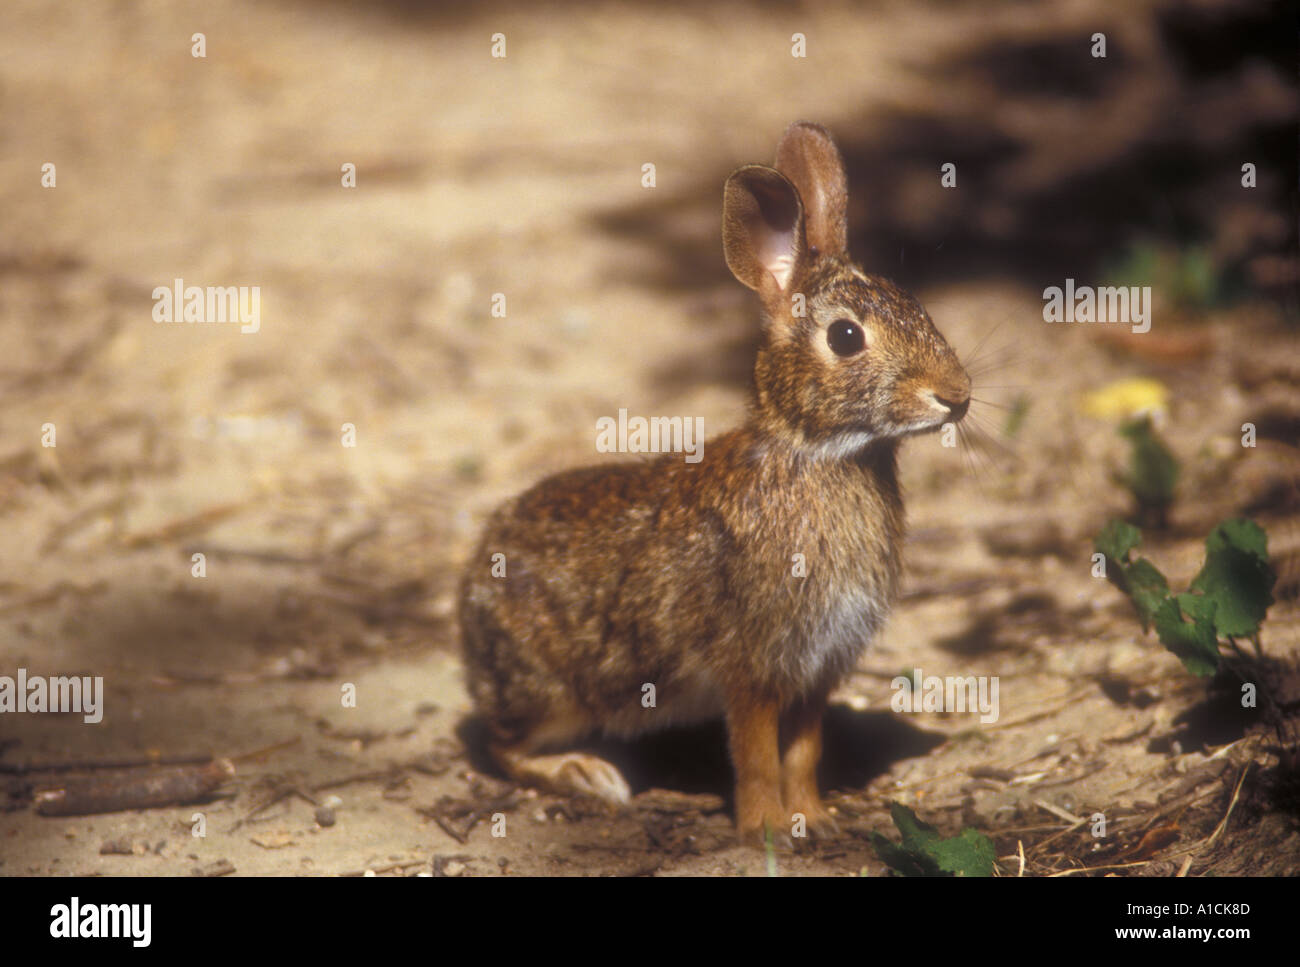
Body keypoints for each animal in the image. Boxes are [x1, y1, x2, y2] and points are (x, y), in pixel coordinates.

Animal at [459, 121, 970, 844]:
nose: (957, 396)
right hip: (552, 690)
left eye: (916, 305)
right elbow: (755, 753)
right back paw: (587, 774)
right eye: (846, 337)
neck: (815, 452)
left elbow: (803, 750)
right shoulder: (751, 663)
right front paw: (765, 830)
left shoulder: (817, 670)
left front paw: (814, 820)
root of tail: (470, 588)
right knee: (503, 745)